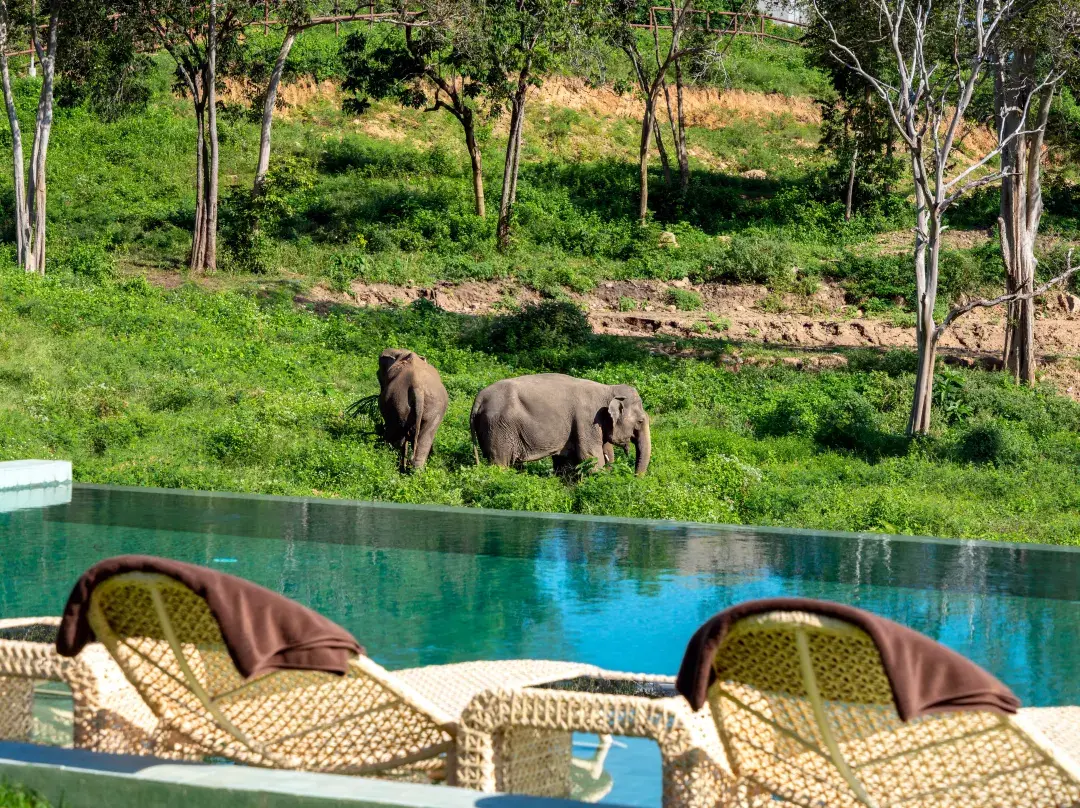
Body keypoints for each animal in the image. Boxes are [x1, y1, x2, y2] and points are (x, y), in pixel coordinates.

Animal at [470, 373, 651, 476]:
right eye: (640, 421)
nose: (634, 478)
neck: (607, 389)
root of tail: (479, 398)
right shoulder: (587, 421)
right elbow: (591, 457)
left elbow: (566, 462)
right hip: (499, 428)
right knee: (500, 463)